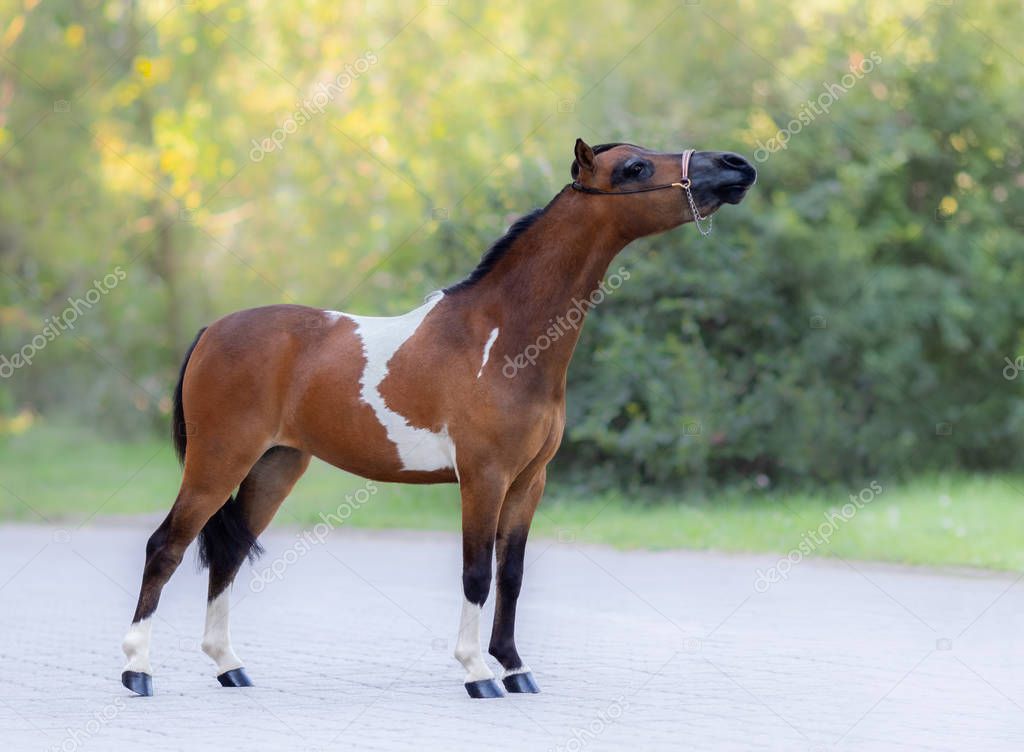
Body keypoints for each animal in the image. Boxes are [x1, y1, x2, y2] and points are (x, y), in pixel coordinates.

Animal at [120, 138, 756, 699]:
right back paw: (138, 671)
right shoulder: (483, 478)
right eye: (633, 168)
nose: (736, 166)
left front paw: (516, 668)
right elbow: (476, 573)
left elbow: (511, 574)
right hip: (219, 461)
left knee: (227, 553)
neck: (503, 340)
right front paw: (478, 672)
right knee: (165, 547)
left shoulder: (529, 481)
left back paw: (230, 667)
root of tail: (212, 330)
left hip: (273, 467)